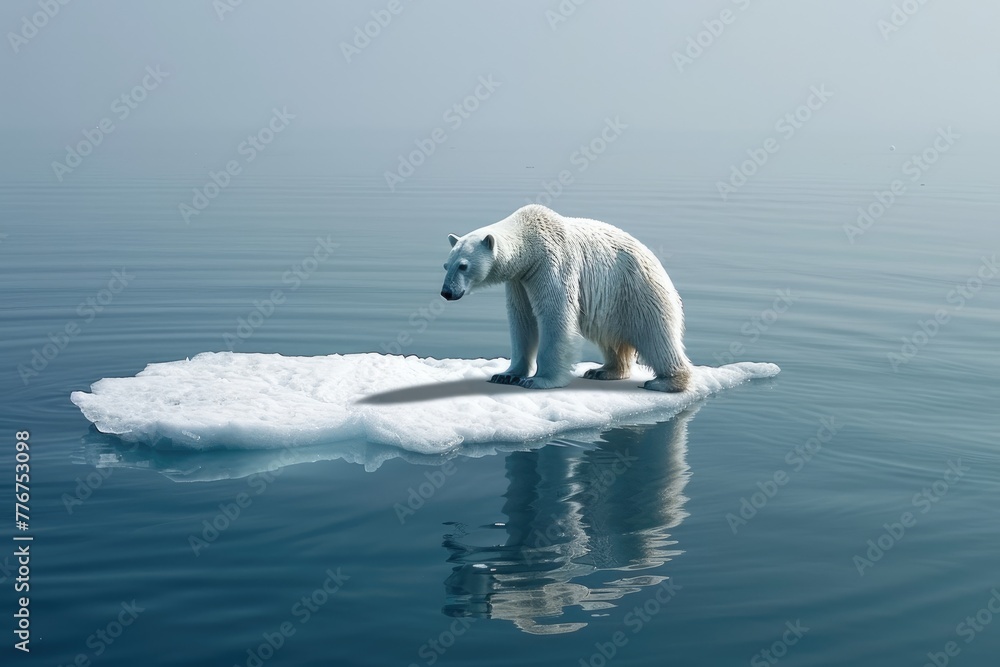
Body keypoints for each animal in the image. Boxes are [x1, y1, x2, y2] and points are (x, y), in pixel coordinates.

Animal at [440, 205, 693, 392]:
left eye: (463, 266)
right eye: (446, 265)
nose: (446, 292)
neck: (531, 240)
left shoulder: (551, 263)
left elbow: (555, 315)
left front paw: (538, 380)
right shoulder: (519, 280)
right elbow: (522, 319)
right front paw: (505, 375)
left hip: (636, 289)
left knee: (656, 334)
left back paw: (666, 381)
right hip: (612, 304)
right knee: (610, 337)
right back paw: (602, 371)